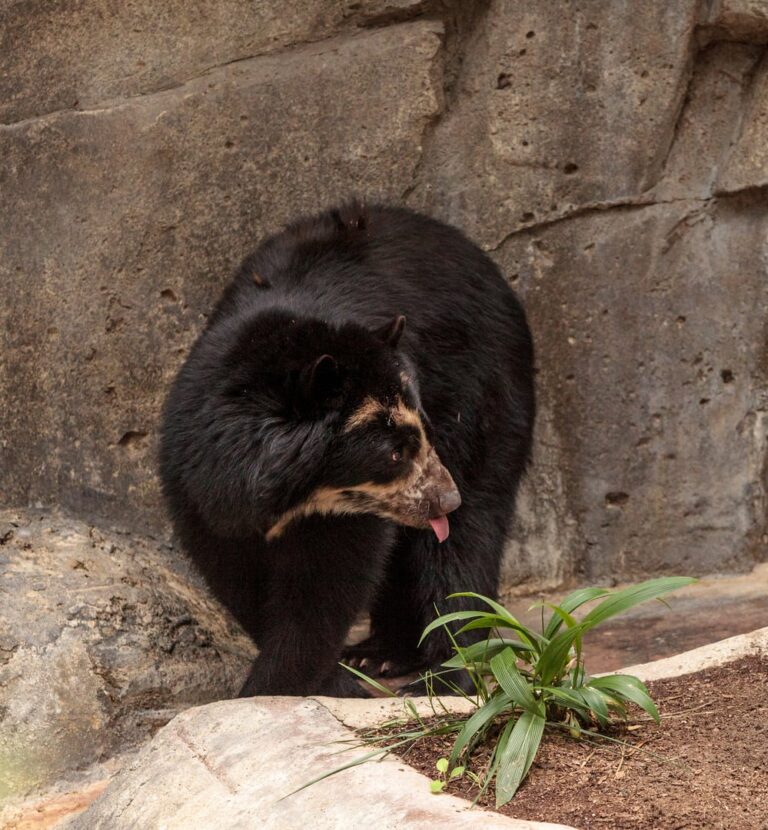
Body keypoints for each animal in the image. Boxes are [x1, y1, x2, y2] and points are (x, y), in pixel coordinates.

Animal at [159, 203, 534, 698]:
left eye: (424, 436)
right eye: (394, 453)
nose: (445, 498)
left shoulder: (349, 510)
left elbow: (324, 586)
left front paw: (277, 685)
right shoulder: (198, 486)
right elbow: (240, 578)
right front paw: (328, 678)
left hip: (484, 389)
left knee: (466, 537)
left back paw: (445, 670)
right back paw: (381, 652)